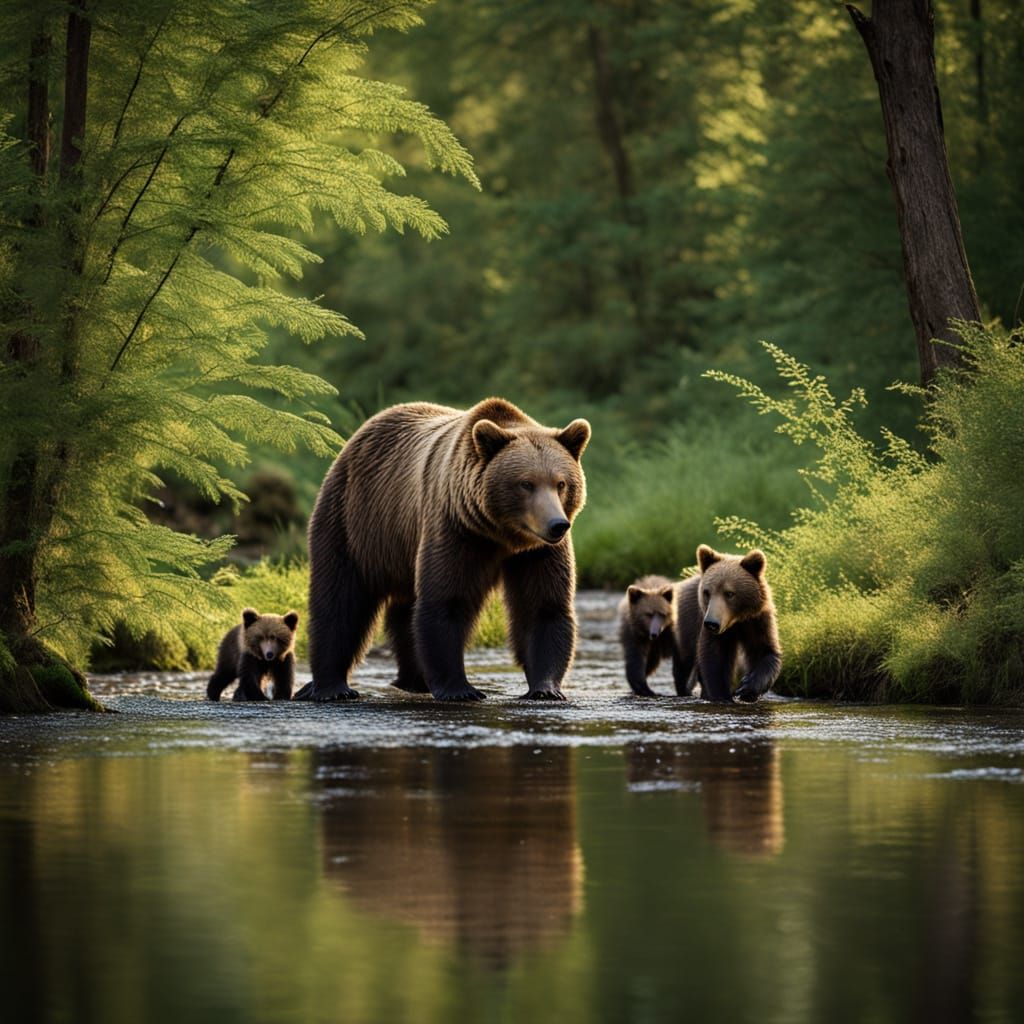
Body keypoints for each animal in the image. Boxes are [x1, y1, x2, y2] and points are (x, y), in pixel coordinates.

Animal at [293, 398, 591, 703]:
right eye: (526, 483)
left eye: (561, 483)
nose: (557, 525)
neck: (502, 534)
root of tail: (354, 439)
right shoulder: (455, 526)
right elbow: (447, 599)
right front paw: (460, 689)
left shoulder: (538, 552)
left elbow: (543, 606)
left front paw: (546, 688)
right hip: (353, 520)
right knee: (339, 599)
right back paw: (331, 687)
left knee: (404, 609)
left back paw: (414, 679)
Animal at [672, 545, 782, 703]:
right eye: (707, 592)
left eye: (729, 593)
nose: (712, 623)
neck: (736, 620)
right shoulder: (710, 626)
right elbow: (714, 659)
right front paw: (721, 695)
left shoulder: (758, 621)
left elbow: (765, 651)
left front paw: (747, 687)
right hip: (687, 621)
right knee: (685, 660)